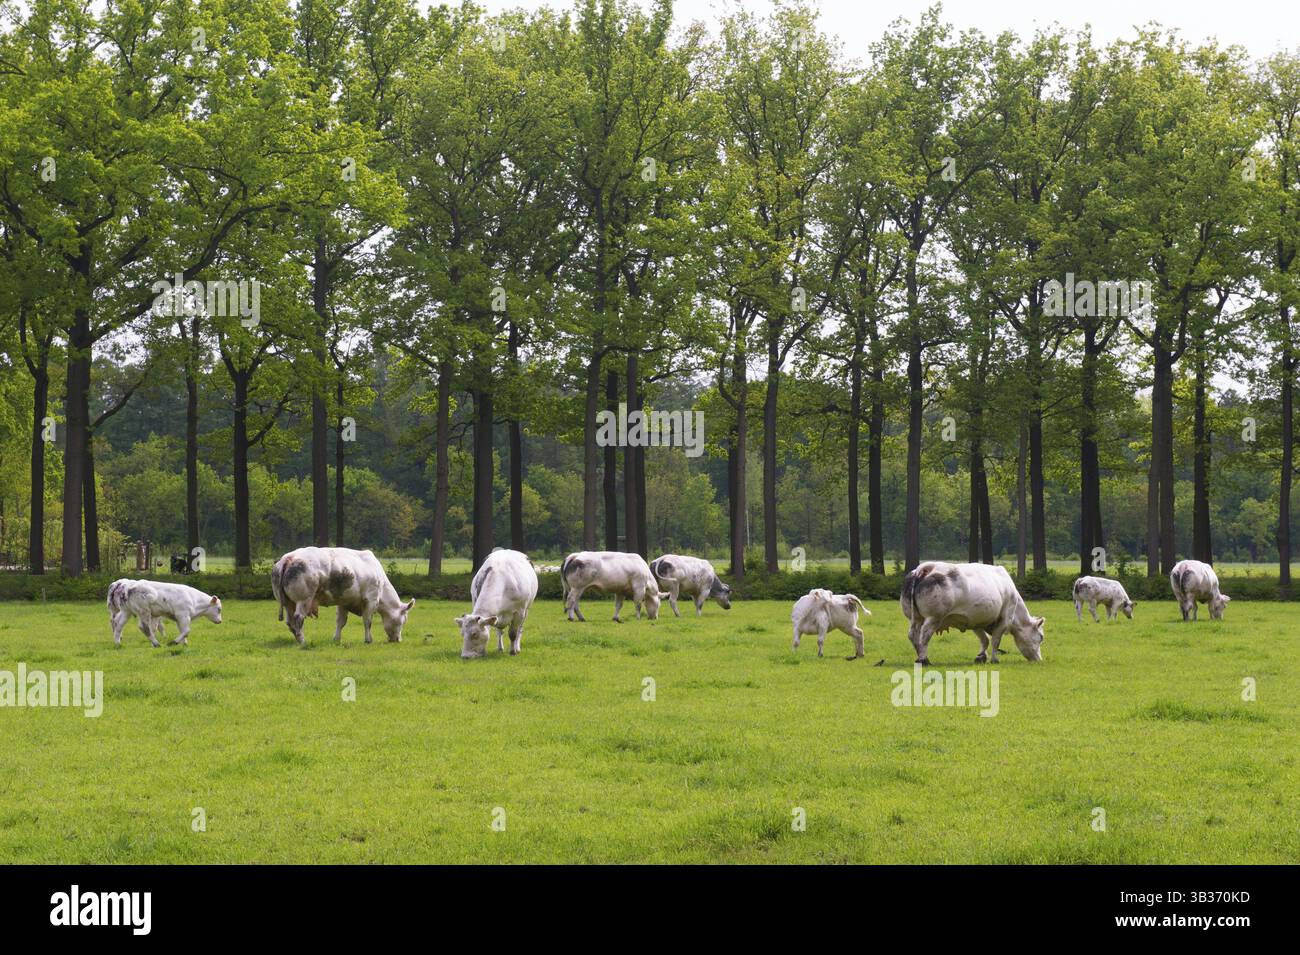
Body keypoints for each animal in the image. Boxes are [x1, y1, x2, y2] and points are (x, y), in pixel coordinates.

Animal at [271, 547, 414, 647]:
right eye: (403, 621)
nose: (398, 640)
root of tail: (288, 558)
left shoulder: (344, 602)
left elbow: (340, 622)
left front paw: (336, 639)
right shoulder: (371, 600)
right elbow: (367, 622)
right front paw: (368, 640)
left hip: (288, 603)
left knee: (290, 622)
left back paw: (297, 639)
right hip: (303, 599)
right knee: (298, 619)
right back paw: (302, 641)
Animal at [901, 561, 1044, 665]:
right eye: (1041, 637)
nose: (1039, 660)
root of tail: (924, 568)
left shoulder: (974, 621)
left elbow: (985, 640)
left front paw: (981, 657)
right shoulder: (1005, 619)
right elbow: (995, 641)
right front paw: (994, 660)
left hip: (915, 618)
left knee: (913, 635)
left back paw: (919, 657)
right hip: (933, 617)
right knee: (924, 636)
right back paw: (924, 660)